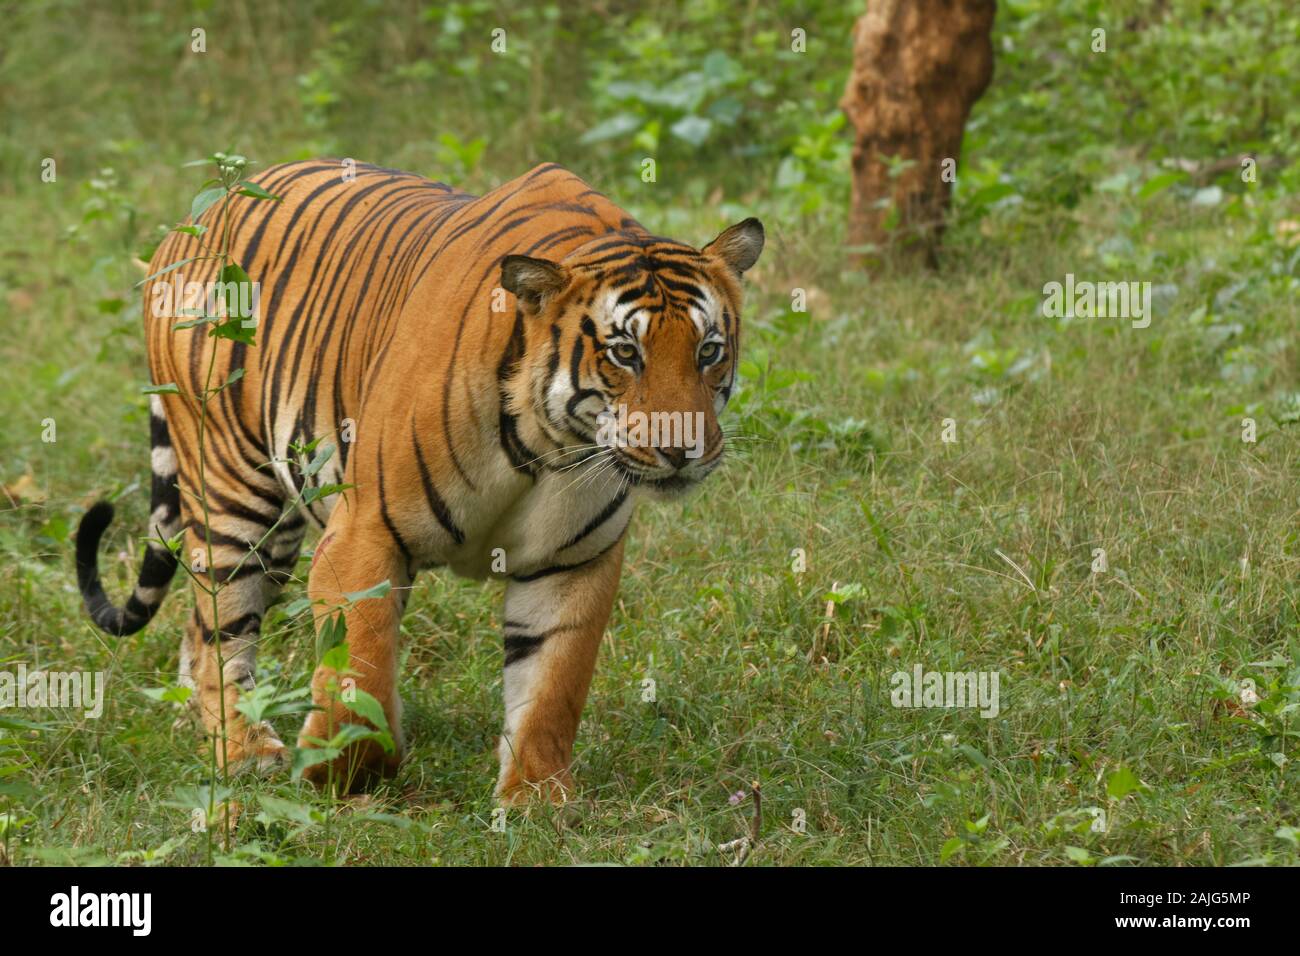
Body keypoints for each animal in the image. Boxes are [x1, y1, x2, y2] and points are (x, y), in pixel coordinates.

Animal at [75, 159, 763, 802]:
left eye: (708, 351)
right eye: (625, 353)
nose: (682, 450)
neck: (548, 447)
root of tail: (194, 218)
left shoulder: (573, 563)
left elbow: (550, 690)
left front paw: (536, 801)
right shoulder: (365, 534)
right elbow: (361, 670)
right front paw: (336, 774)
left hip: (278, 535)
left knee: (199, 627)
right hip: (236, 496)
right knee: (223, 630)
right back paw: (245, 752)